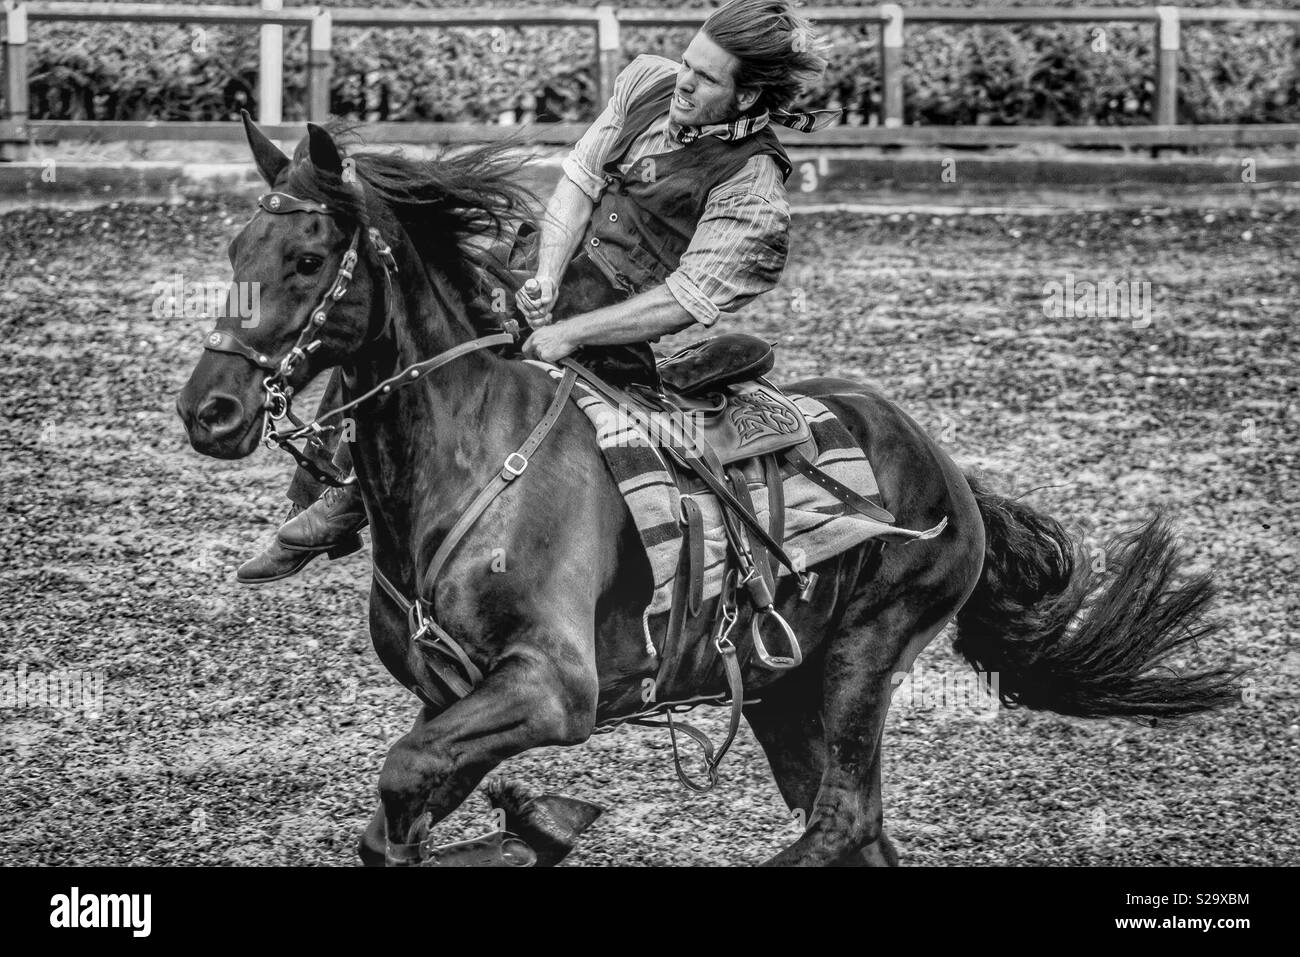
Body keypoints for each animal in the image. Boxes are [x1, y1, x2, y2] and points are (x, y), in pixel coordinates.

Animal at [176, 116, 1239, 866]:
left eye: (308, 259)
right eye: (232, 256)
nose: (210, 409)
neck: (473, 452)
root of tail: (945, 467)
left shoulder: (553, 687)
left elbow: (405, 779)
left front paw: (546, 819)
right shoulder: (452, 694)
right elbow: (403, 812)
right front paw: (536, 819)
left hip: (863, 655)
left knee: (838, 824)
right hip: (783, 685)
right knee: (861, 833)